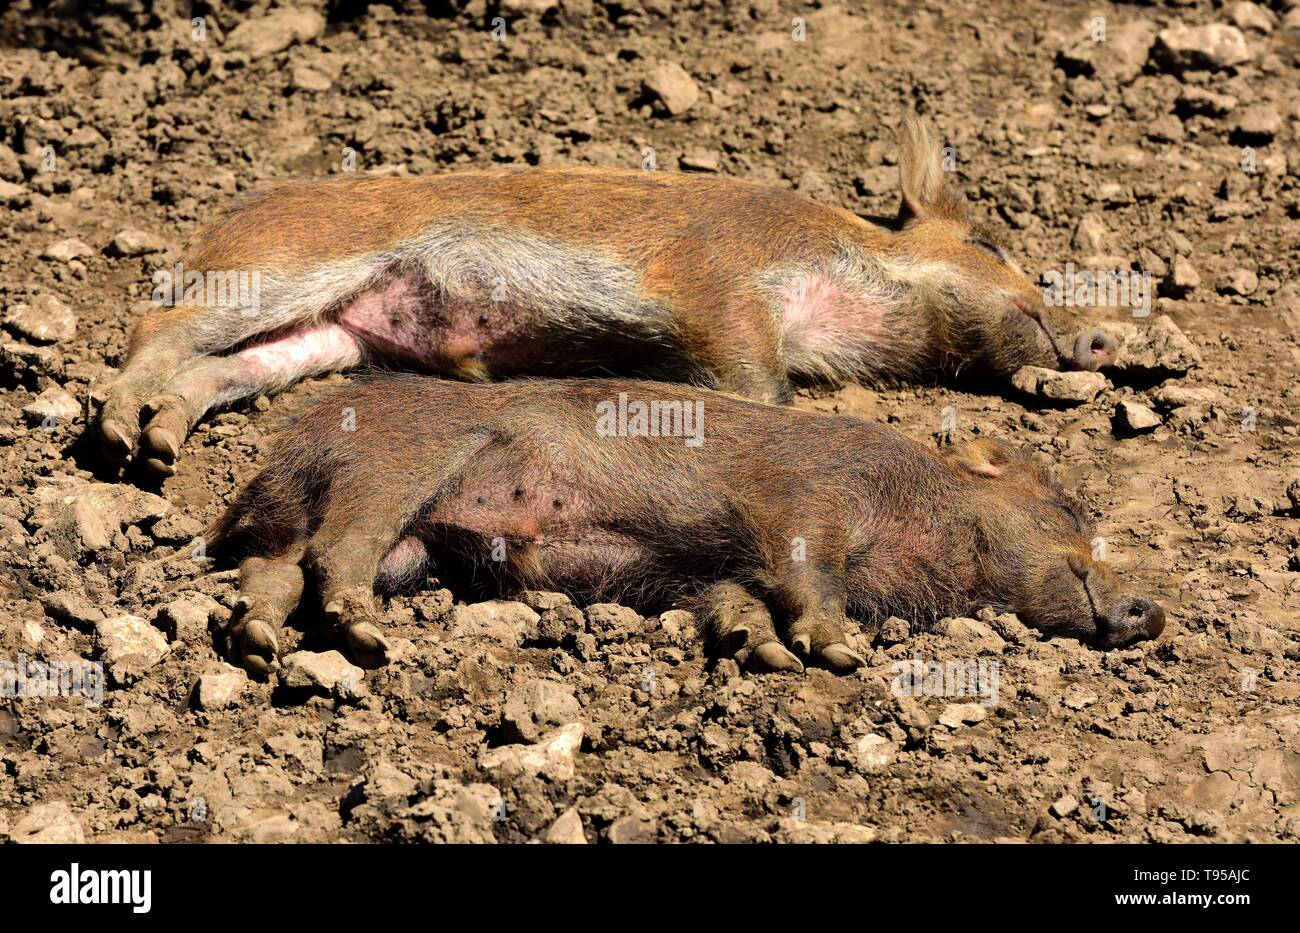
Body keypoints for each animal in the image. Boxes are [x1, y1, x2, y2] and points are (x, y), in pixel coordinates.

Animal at [94, 114, 1117, 477]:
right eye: (989, 242)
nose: (1097, 338)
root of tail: (214, 228)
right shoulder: (720, 287)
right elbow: (759, 384)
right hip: (284, 270)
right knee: (157, 326)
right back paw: (112, 433)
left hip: (330, 339)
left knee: (214, 374)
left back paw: (156, 450)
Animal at [207, 375, 1165, 679]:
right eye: (1068, 507)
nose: (1150, 609)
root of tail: (285, 450)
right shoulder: (808, 500)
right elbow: (808, 576)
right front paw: (840, 657)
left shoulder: (727, 569)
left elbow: (735, 602)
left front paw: (766, 654)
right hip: (391, 471)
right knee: (333, 552)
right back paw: (371, 644)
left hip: (396, 541)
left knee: (273, 569)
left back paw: (260, 643)